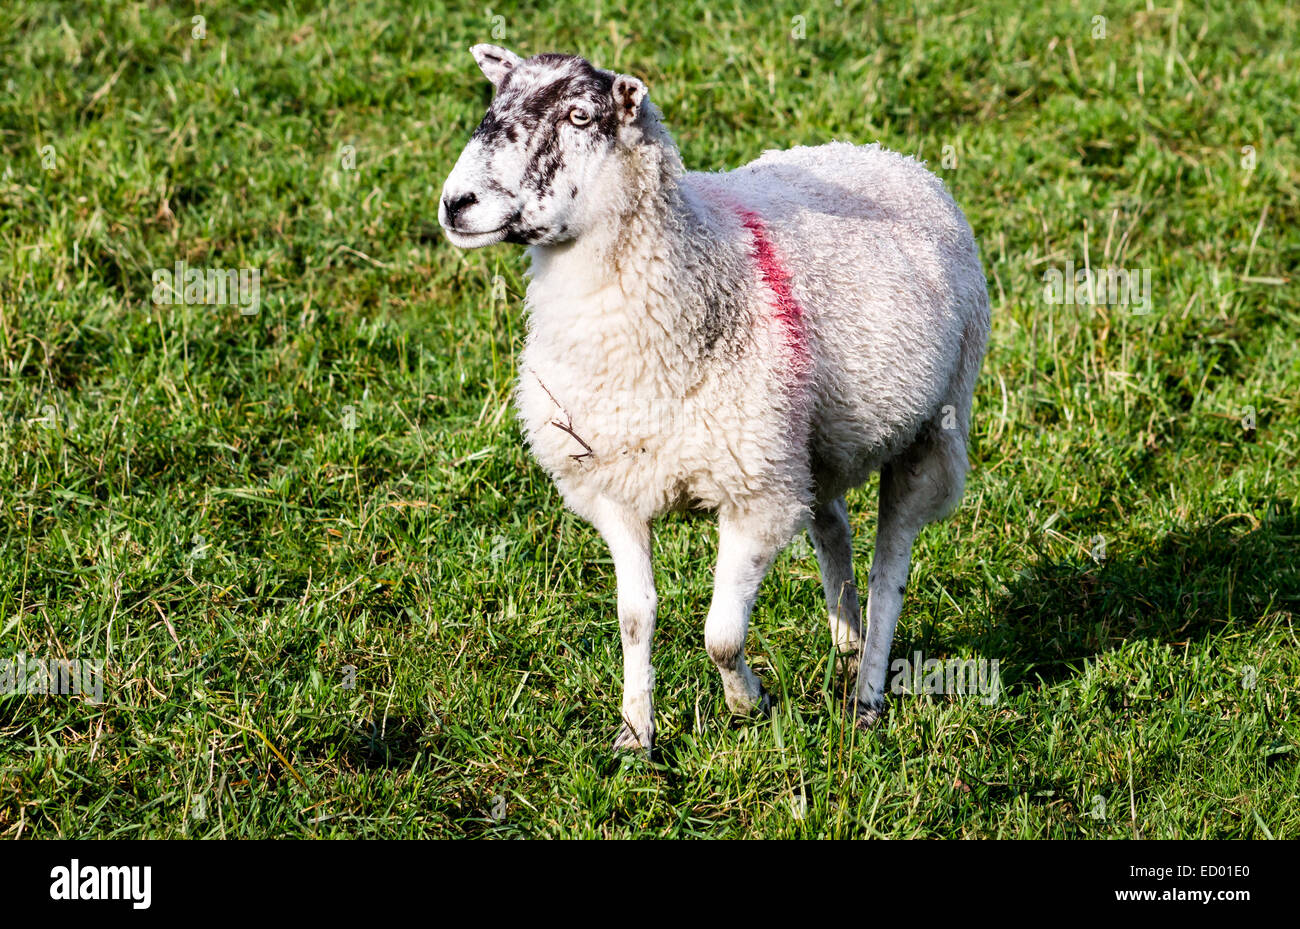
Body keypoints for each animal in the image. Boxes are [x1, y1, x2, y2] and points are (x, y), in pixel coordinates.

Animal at [439, 45, 991, 752]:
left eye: (580, 114)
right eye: (493, 103)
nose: (457, 203)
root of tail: (889, 157)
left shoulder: (756, 495)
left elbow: (721, 635)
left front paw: (747, 703)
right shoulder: (614, 489)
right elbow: (635, 616)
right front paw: (635, 734)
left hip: (930, 431)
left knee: (888, 571)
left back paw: (866, 695)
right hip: (811, 442)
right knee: (833, 528)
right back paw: (845, 640)